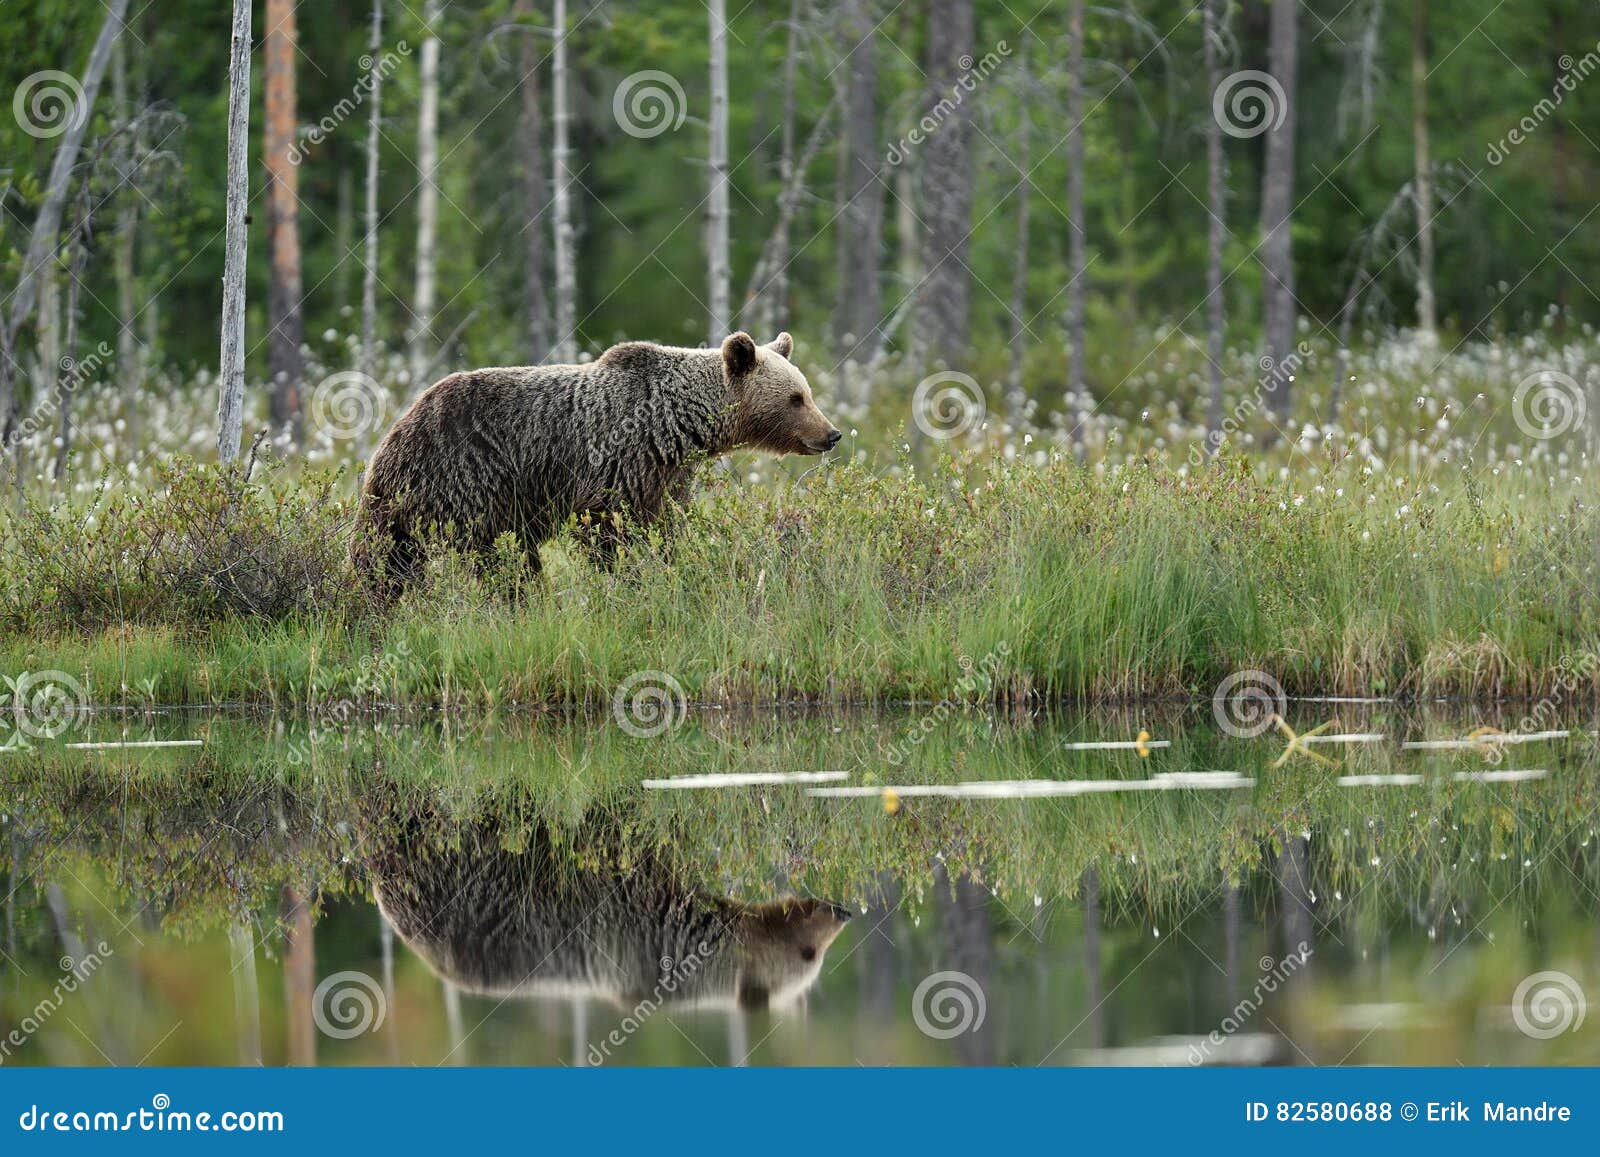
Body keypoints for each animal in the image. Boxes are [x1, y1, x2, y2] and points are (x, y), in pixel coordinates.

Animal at [350, 331, 840, 592]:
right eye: (796, 398)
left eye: (807, 392)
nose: (831, 434)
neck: (678, 425)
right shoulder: (616, 461)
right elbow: (605, 529)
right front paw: (625, 575)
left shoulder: (662, 474)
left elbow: (663, 524)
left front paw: (670, 564)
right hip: (464, 478)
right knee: (477, 556)